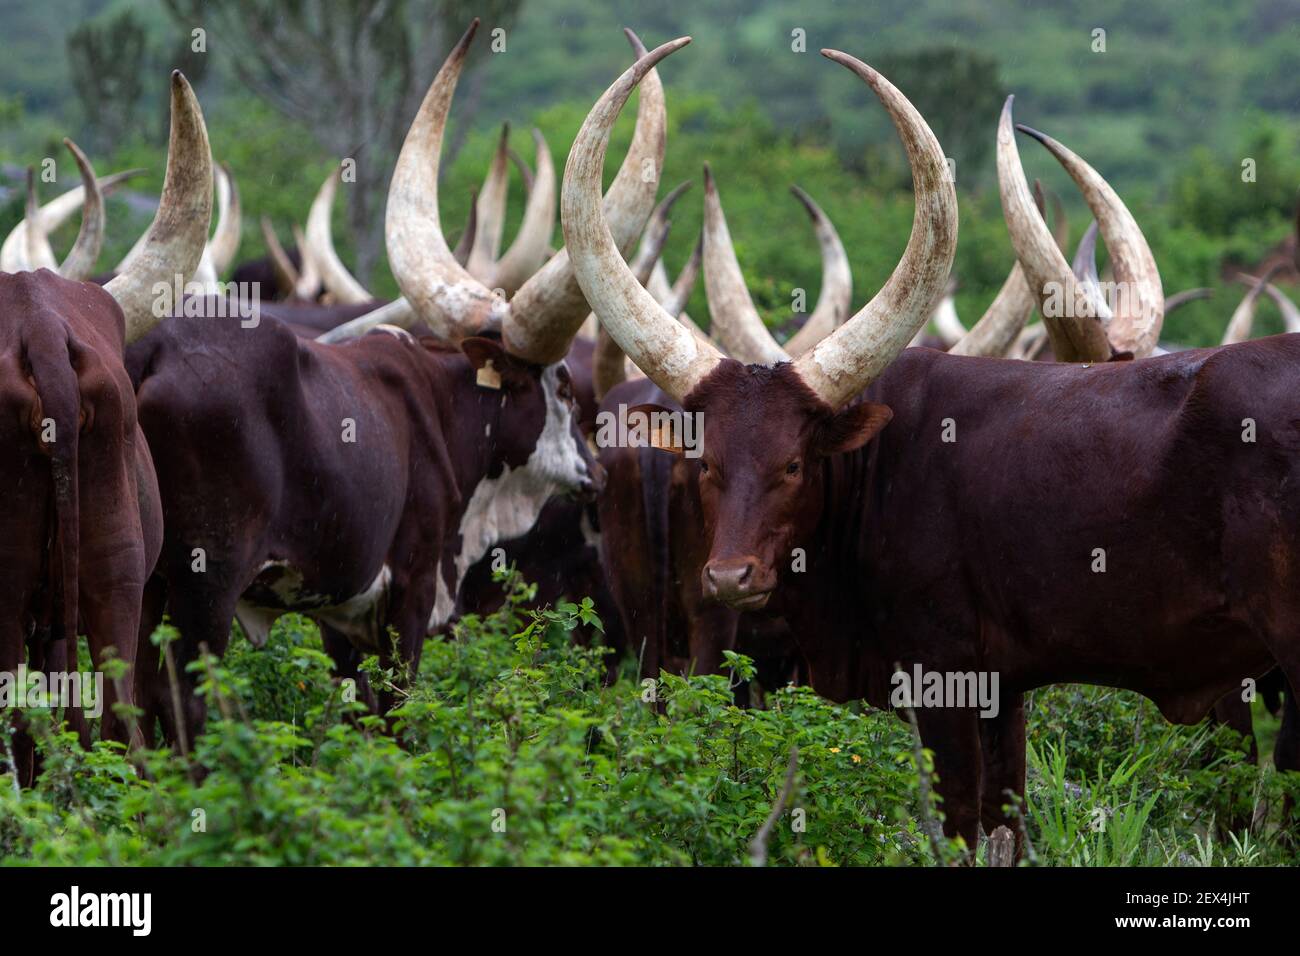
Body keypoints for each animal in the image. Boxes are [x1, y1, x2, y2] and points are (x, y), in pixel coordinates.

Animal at [564, 39, 1300, 854]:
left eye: (794, 463)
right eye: (706, 464)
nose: (729, 577)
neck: (880, 464)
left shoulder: (942, 681)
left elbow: (960, 829)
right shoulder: (1004, 691)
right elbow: (1005, 822)